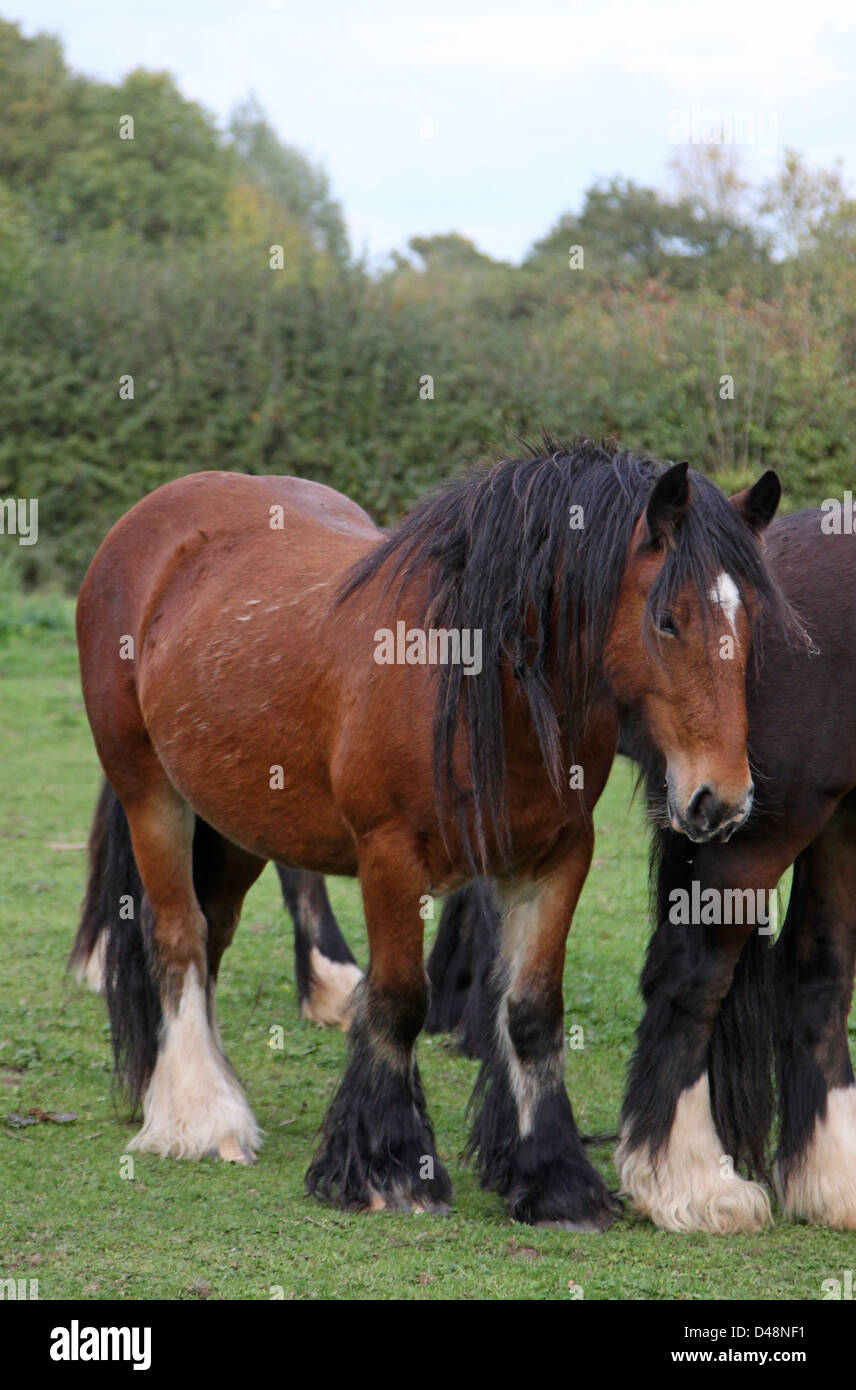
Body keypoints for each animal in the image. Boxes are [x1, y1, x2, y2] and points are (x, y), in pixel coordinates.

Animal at [70, 437, 790, 1228]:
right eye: (667, 621)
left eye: (750, 623)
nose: (721, 800)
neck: (478, 673)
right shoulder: (391, 856)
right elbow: (398, 1000)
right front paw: (386, 1167)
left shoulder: (556, 857)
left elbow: (531, 1011)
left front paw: (554, 1180)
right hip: (152, 794)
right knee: (179, 936)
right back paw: (202, 1117)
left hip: (233, 820)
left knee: (214, 933)